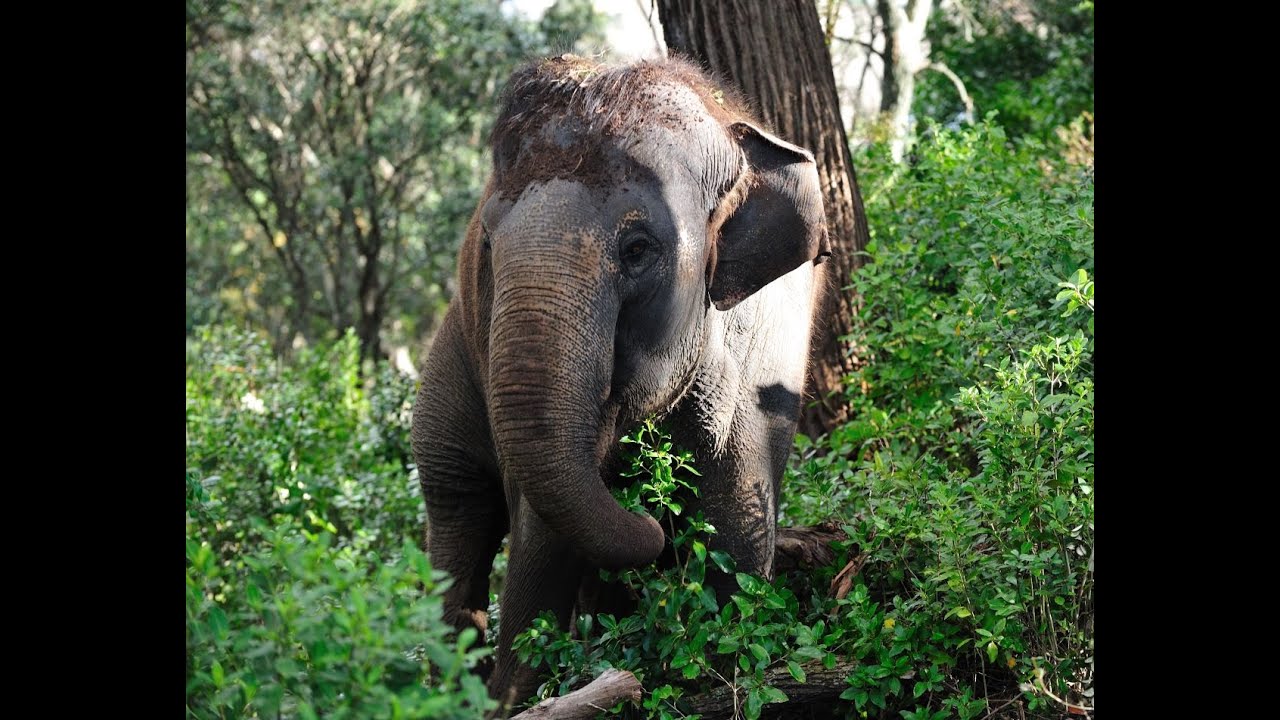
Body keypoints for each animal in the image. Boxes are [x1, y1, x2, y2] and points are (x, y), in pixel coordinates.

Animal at [411, 54, 830, 704]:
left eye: (637, 248)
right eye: (487, 246)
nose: (650, 519)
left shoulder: (769, 341)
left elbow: (739, 504)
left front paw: (724, 668)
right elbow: (542, 532)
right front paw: (513, 699)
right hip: (451, 358)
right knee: (458, 510)